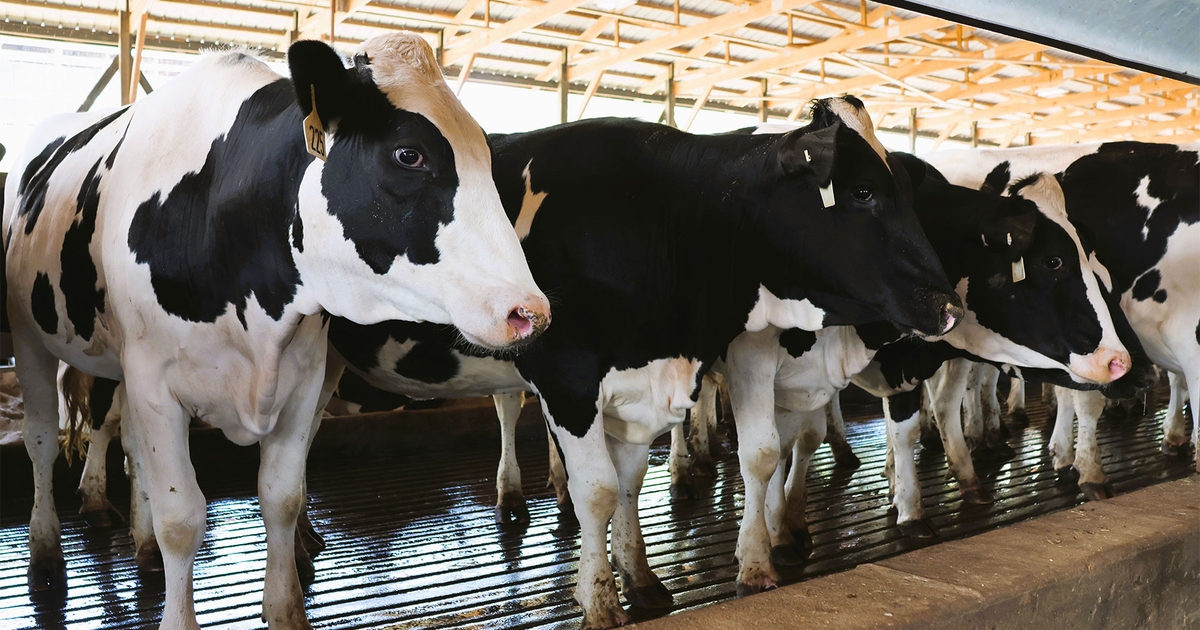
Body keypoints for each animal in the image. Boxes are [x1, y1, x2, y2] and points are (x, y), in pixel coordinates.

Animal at [3, 33, 550, 630]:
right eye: (409, 154)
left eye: (486, 156)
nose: (530, 312)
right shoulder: (154, 381)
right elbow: (181, 518)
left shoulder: (302, 376)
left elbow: (281, 496)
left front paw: (286, 607)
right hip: (31, 338)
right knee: (41, 443)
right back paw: (46, 556)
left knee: (128, 447)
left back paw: (140, 547)